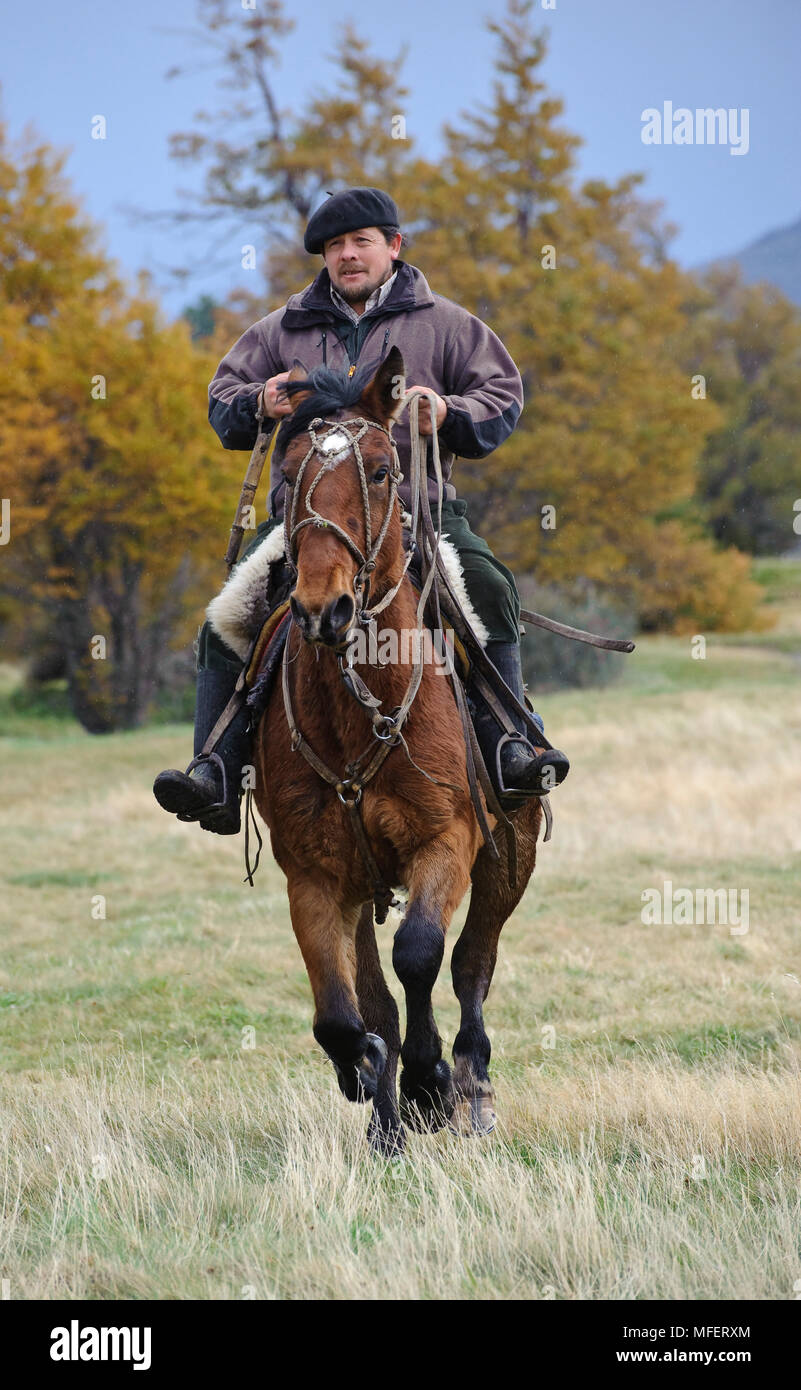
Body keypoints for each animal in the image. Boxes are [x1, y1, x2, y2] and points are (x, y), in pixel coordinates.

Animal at [253, 344, 542, 1150]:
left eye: (383, 470)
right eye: (291, 471)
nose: (322, 606)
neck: (361, 707)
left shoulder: (447, 841)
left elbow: (420, 956)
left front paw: (427, 1077)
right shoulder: (314, 877)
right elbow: (342, 1014)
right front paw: (374, 1082)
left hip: (511, 854)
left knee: (472, 964)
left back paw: (468, 1086)